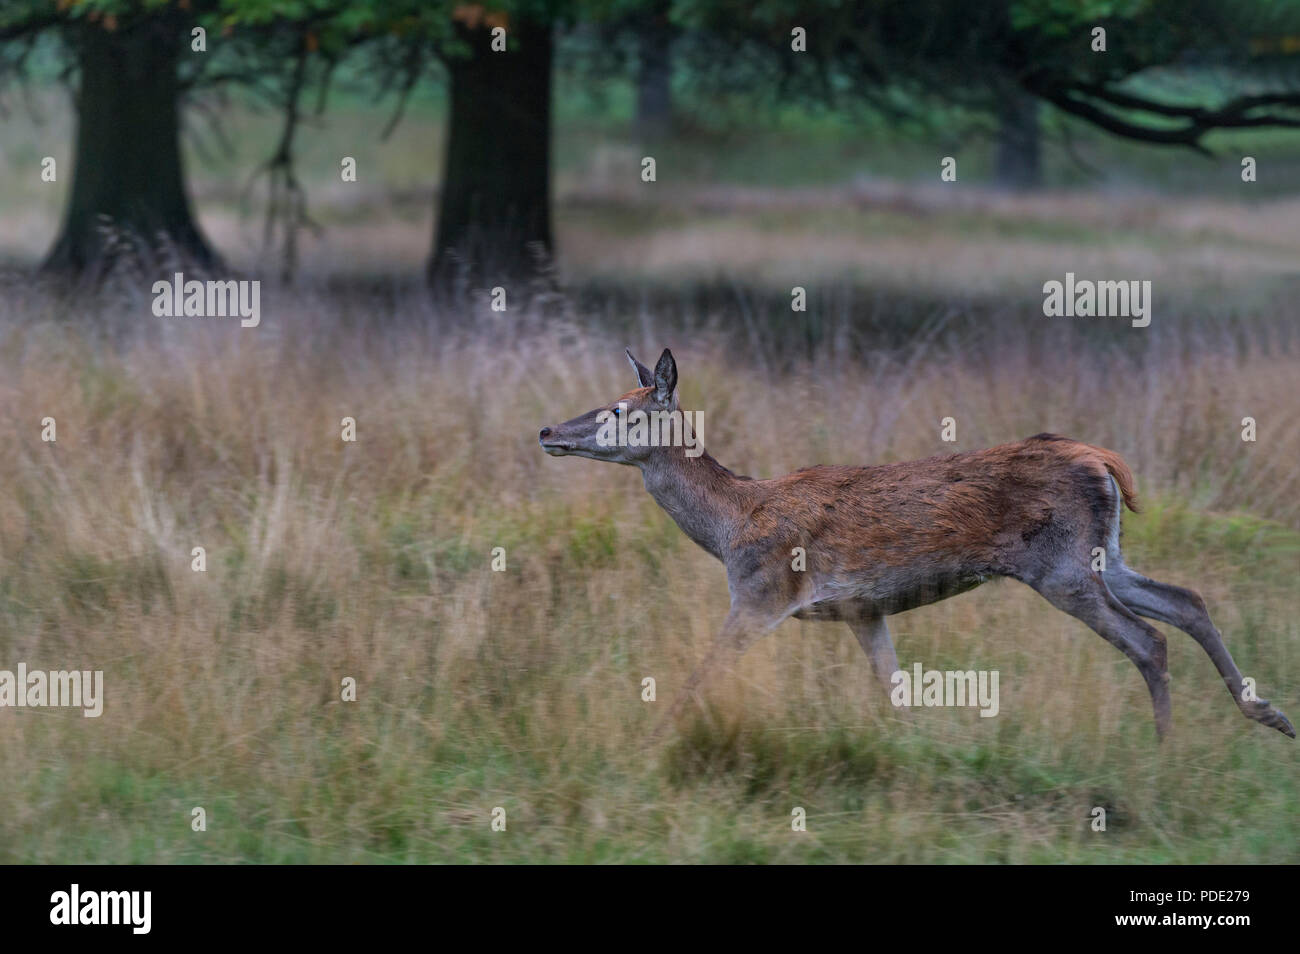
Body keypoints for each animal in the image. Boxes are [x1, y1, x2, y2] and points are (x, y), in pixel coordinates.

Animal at [538, 348, 1295, 742]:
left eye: (620, 410)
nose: (548, 429)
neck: (731, 525)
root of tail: (1103, 460)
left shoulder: (762, 590)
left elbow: (700, 674)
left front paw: (648, 744)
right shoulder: (862, 610)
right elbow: (894, 688)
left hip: (1060, 567)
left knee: (1149, 638)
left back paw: (1165, 750)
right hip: (1105, 552)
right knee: (1187, 599)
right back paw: (1269, 714)